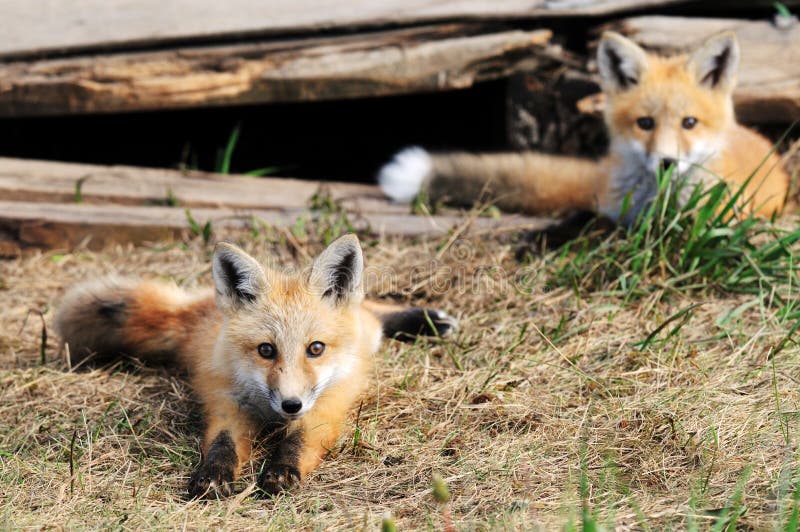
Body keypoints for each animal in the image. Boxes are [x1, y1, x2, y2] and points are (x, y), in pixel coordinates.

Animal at [54, 234, 456, 498]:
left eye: (316, 349)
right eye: (266, 350)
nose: (291, 405)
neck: (270, 413)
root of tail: (195, 314)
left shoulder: (325, 406)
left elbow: (299, 442)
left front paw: (282, 472)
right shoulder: (226, 403)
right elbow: (222, 445)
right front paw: (213, 477)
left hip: (366, 334)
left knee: (375, 311)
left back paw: (427, 320)